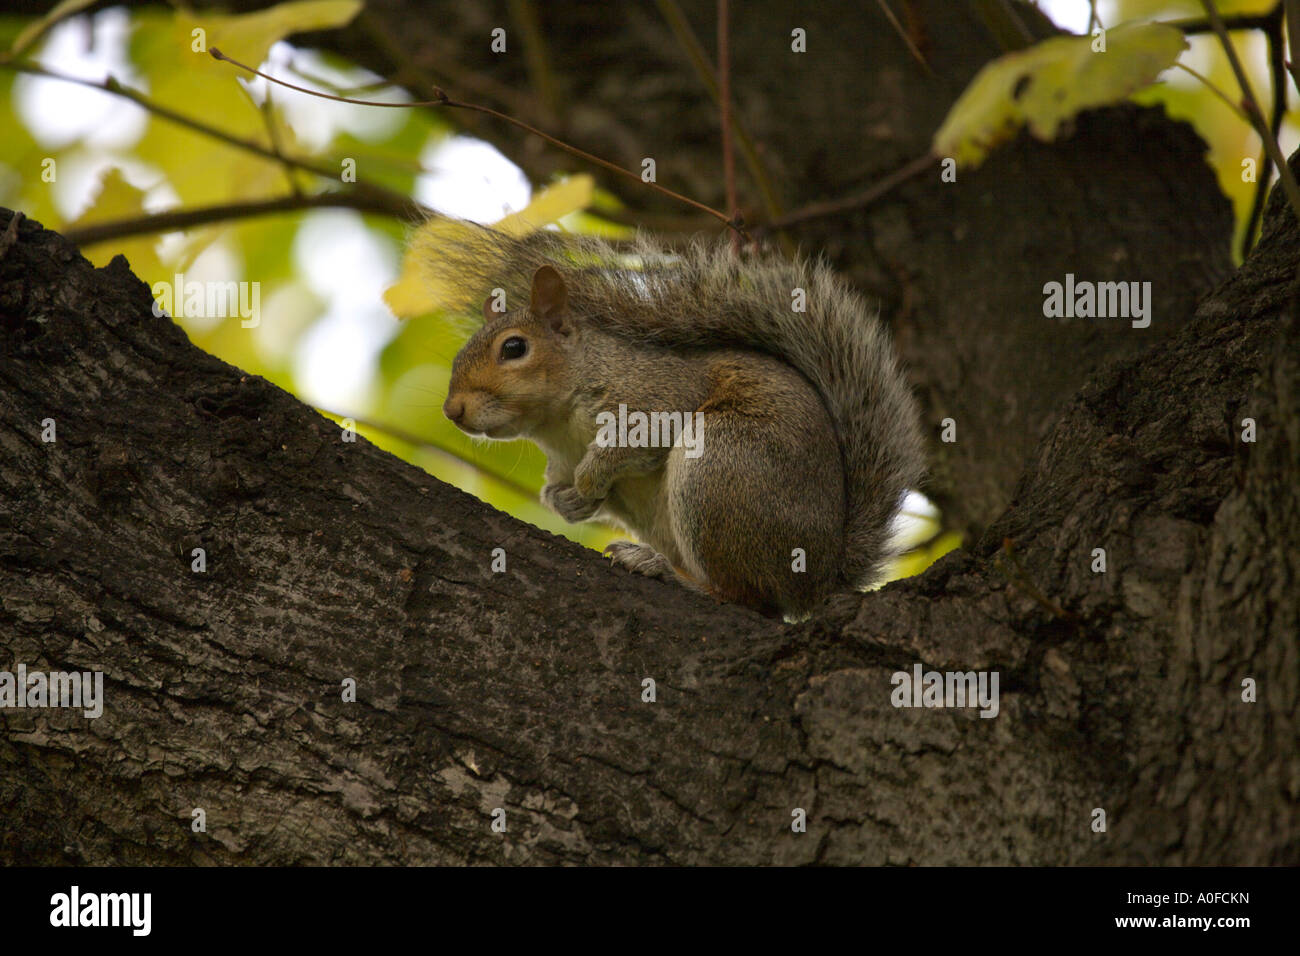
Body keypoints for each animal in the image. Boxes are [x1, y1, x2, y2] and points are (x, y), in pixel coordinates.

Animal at [435, 225, 924, 617]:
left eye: (514, 348)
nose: (452, 410)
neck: (558, 426)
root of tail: (820, 579)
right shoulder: (559, 459)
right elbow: (561, 489)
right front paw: (570, 501)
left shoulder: (659, 396)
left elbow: (635, 441)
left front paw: (591, 477)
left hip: (723, 465)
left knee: (749, 599)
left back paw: (666, 571)